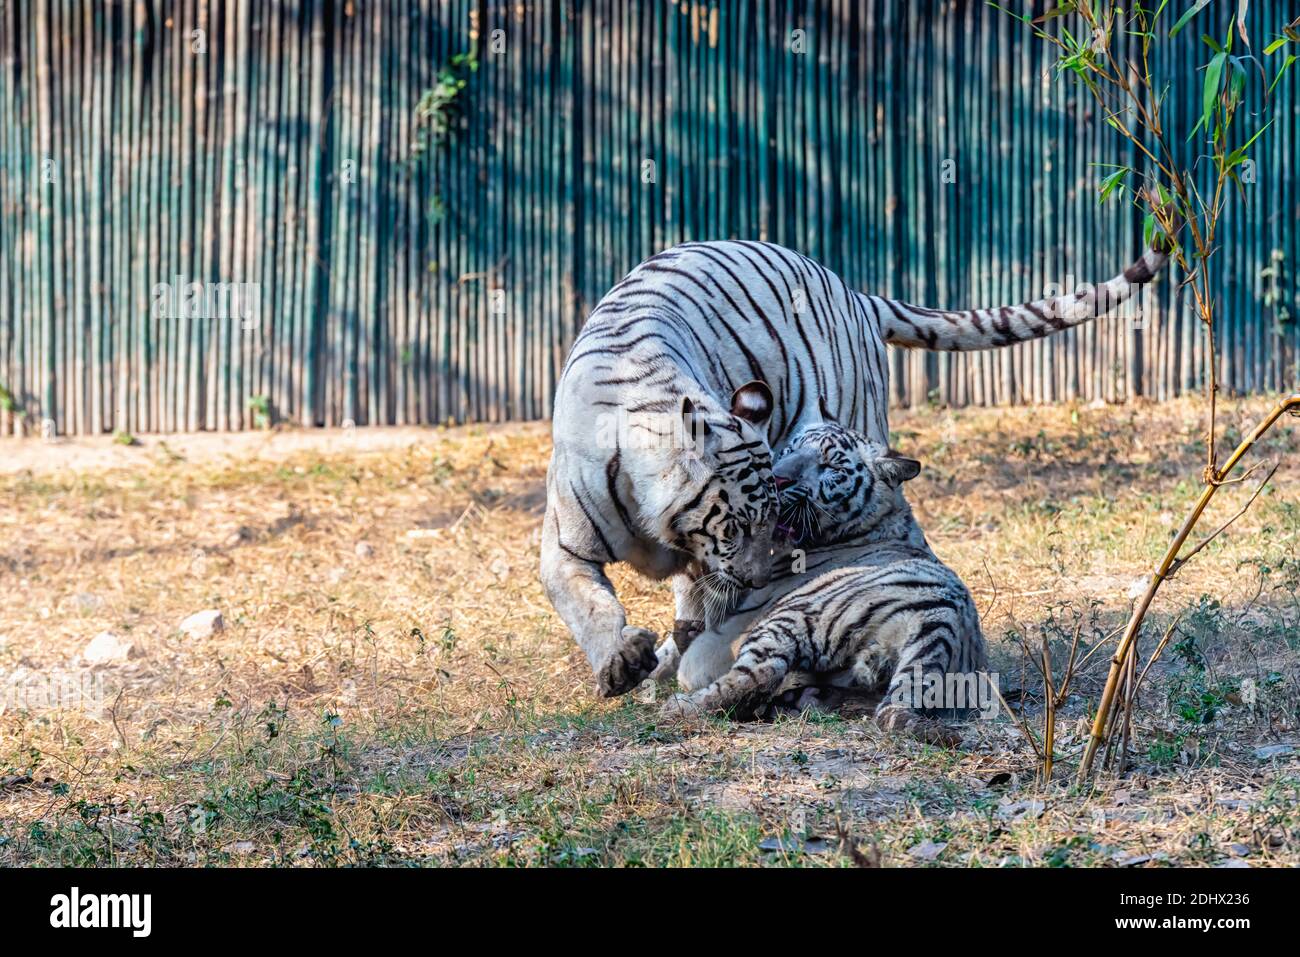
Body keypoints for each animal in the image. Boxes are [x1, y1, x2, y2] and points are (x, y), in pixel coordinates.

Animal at [541, 235, 1173, 698]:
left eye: (763, 521)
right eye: (735, 526)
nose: (760, 577)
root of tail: (851, 287)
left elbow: (704, 607)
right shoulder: (568, 546)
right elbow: (589, 605)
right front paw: (622, 662)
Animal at [658, 417, 987, 742]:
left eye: (831, 467)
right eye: (790, 449)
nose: (778, 479)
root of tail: (942, 624)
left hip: (793, 617)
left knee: (756, 676)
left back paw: (681, 704)